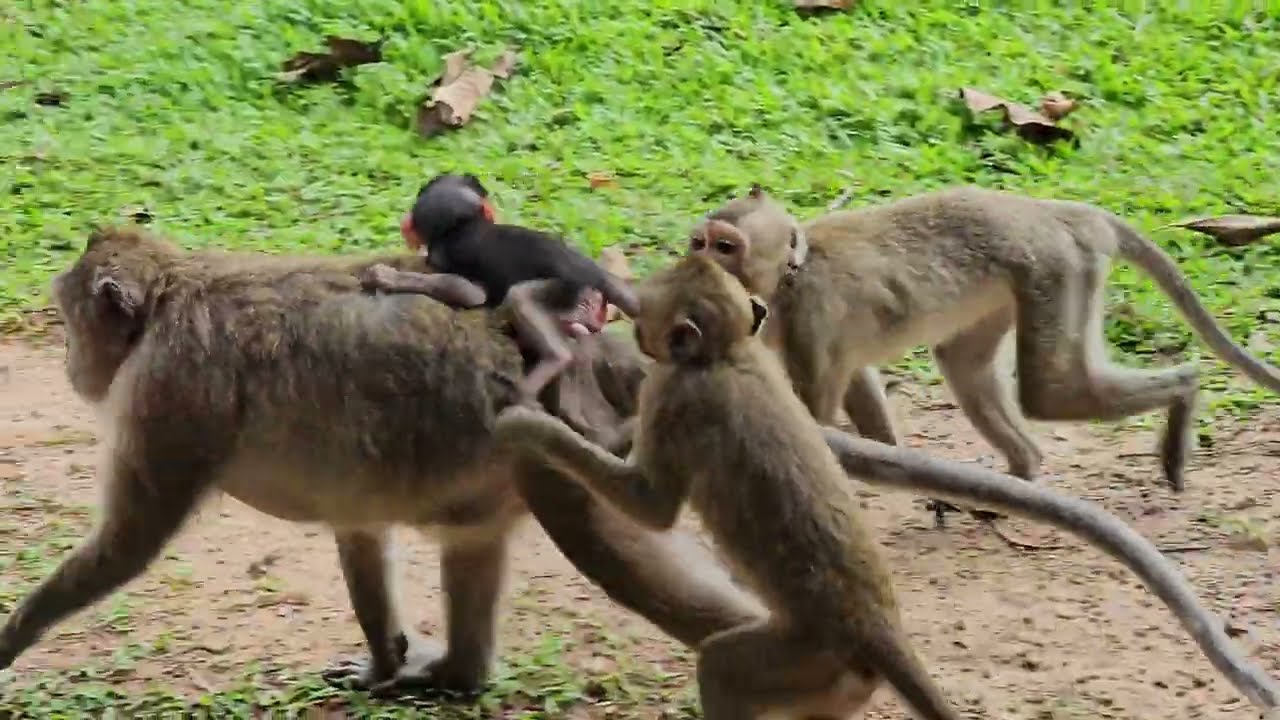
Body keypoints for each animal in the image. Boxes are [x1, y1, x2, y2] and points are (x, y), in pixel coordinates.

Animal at [358, 172, 640, 409]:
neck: (465, 224)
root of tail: (589, 280)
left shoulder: (443, 253)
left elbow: (469, 293)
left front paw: (387, 277)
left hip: (564, 291)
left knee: (519, 297)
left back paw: (548, 365)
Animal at [493, 254, 1280, 718]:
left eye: (650, 316)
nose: (631, 326)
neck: (728, 355)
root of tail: (876, 628)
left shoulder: (677, 398)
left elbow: (651, 507)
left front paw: (532, 426)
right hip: (834, 680)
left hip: (805, 656)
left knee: (721, 665)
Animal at [689, 184, 1280, 525]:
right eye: (701, 243)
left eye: (726, 247)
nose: (696, 261)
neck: (792, 277)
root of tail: (1058, 215)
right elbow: (859, 388)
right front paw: (908, 472)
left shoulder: (813, 316)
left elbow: (819, 424)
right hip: (1024, 286)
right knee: (966, 365)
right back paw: (1018, 475)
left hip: (1055, 269)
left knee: (1050, 392)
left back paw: (1185, 392)